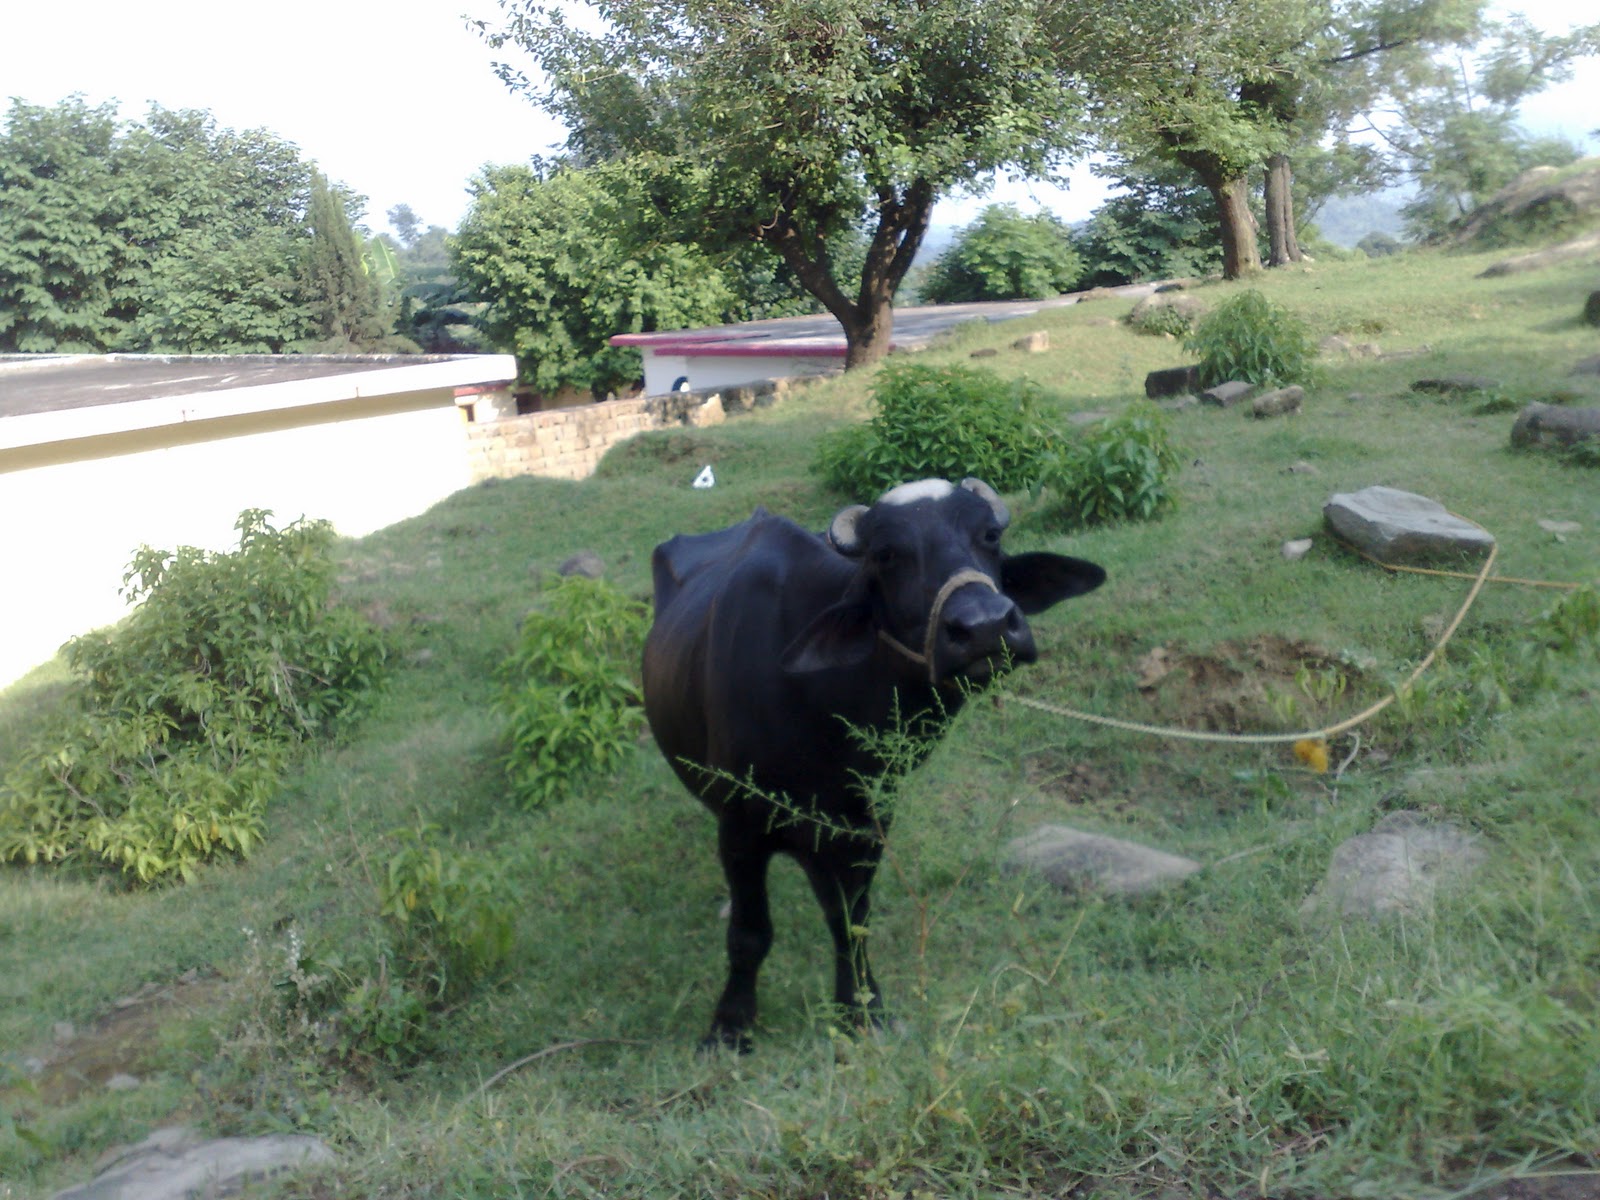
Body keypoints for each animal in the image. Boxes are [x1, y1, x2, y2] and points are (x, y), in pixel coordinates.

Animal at [642, 477, 1105, 1050]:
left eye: (990, 536)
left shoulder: (865, 827)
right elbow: (750, 933)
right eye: (887, 554)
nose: (984, 627)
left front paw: (862, 1009)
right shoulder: (740, 827)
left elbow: (850, 922)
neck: (821, 709)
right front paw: (730, 1025)